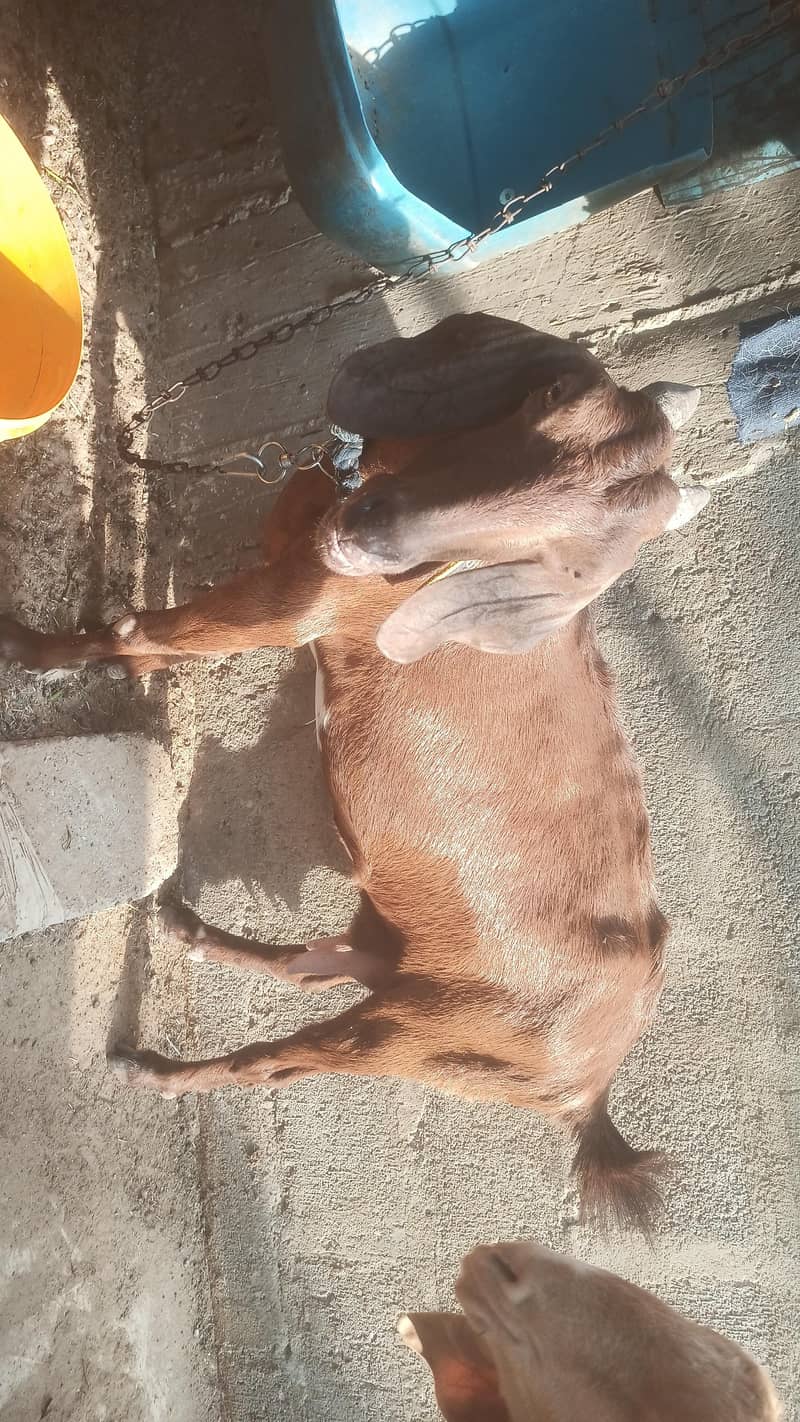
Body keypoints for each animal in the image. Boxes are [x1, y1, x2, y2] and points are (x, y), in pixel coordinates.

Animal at [0, 314, 709, 1228]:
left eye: (574, 567)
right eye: (550, 399)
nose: (376, 538)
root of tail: (589, 1094)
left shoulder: (286, 604)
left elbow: (135, 631)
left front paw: (27, 646)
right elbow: (148, 644)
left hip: (414, 1041)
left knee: (278, 1059)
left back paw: (151, 1070)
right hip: (403, 956)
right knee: (316, 965)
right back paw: (189, 934)